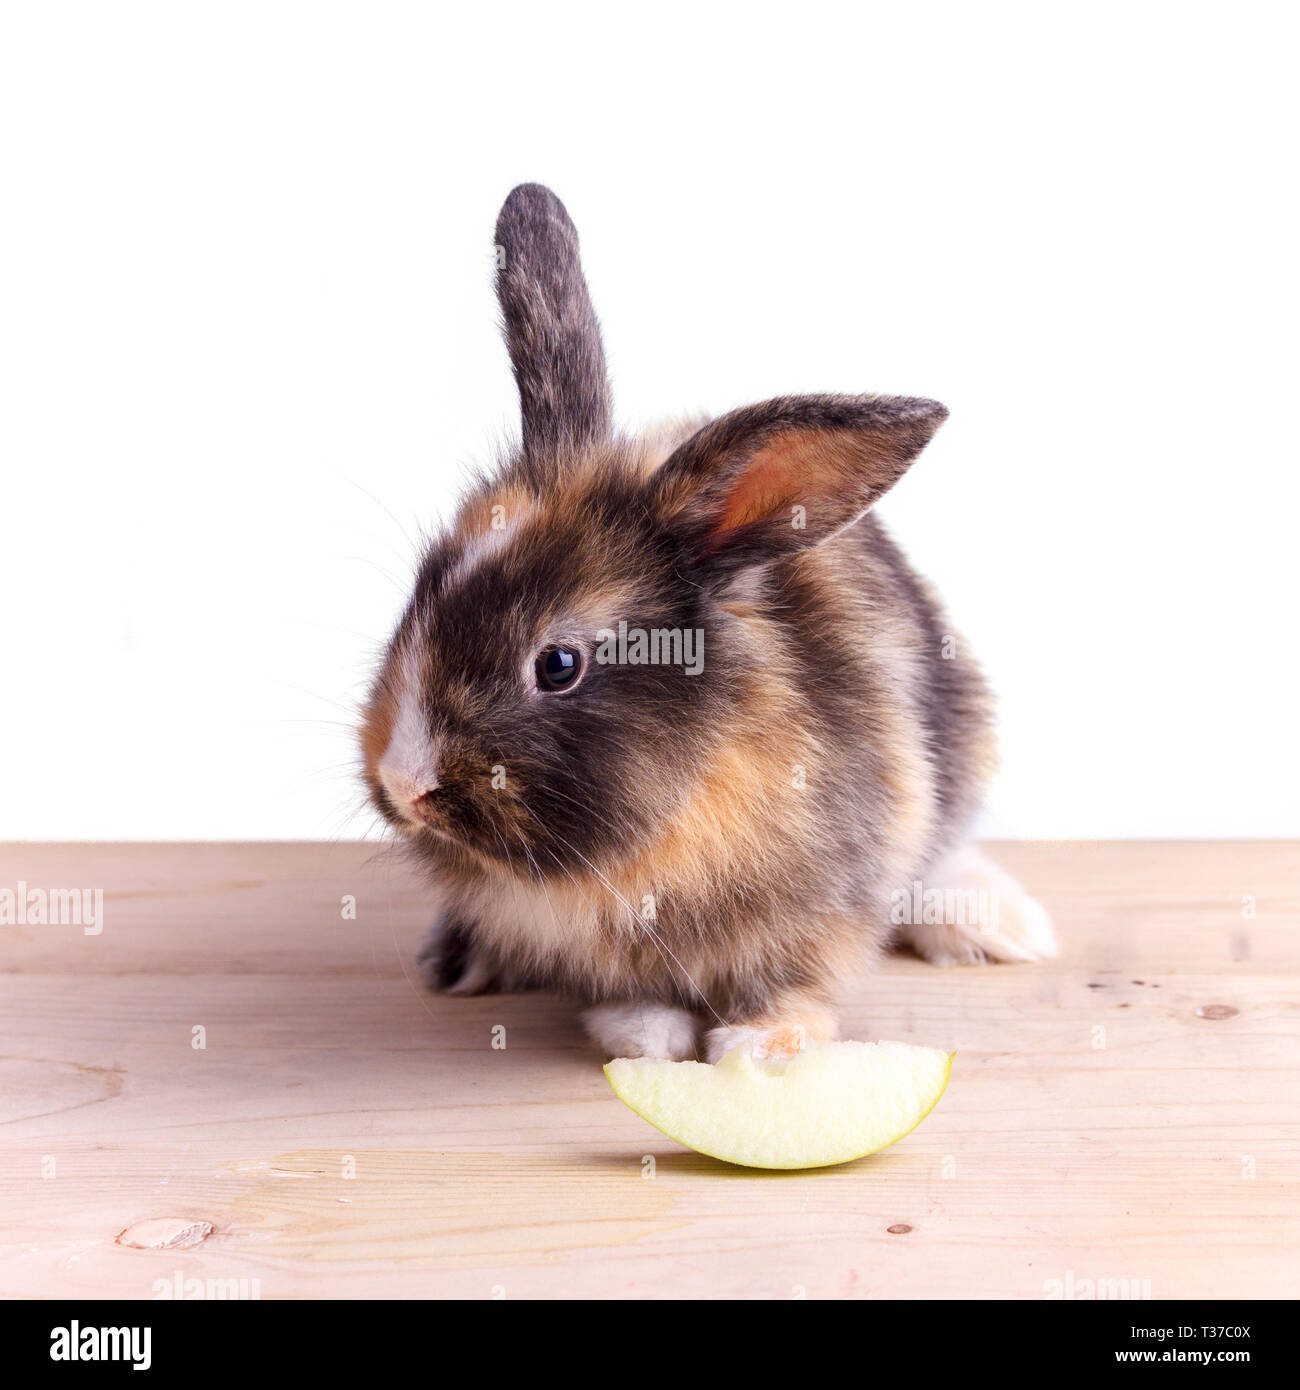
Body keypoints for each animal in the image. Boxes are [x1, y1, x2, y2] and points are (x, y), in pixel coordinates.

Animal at [359, 183, 1057, 1064]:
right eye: (421, 591)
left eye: (558, 664)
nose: (404, 783)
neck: (678, 807)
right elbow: (630, 991)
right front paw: (643, 1033)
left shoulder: (831, 896)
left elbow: (794, 977)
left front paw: (761, 1046)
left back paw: (1000, 926)